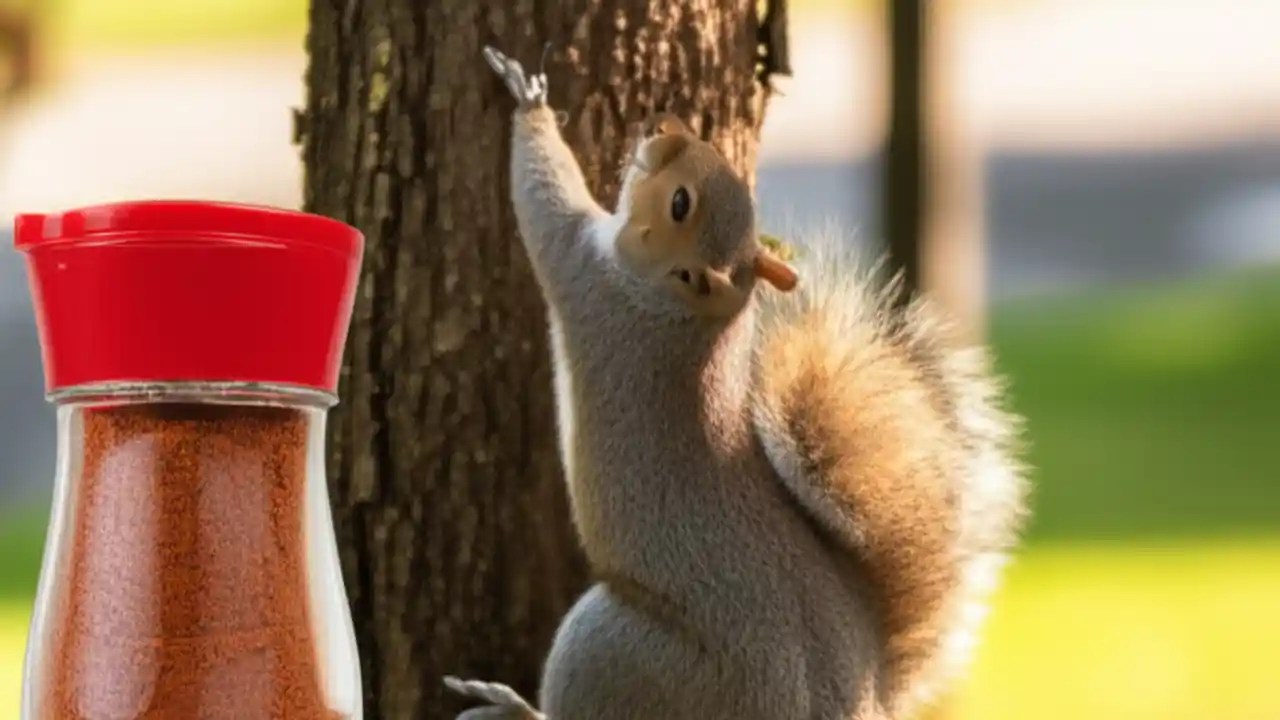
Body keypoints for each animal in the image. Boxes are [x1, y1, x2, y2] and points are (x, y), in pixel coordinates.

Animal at [445, 46, 1028, 720]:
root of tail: (861, 698)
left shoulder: (587, 272)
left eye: (679, 204)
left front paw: (529, 100)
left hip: (617, 649)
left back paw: (512, 706)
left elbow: (544, 198)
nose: (662, 125)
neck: (695, 314)